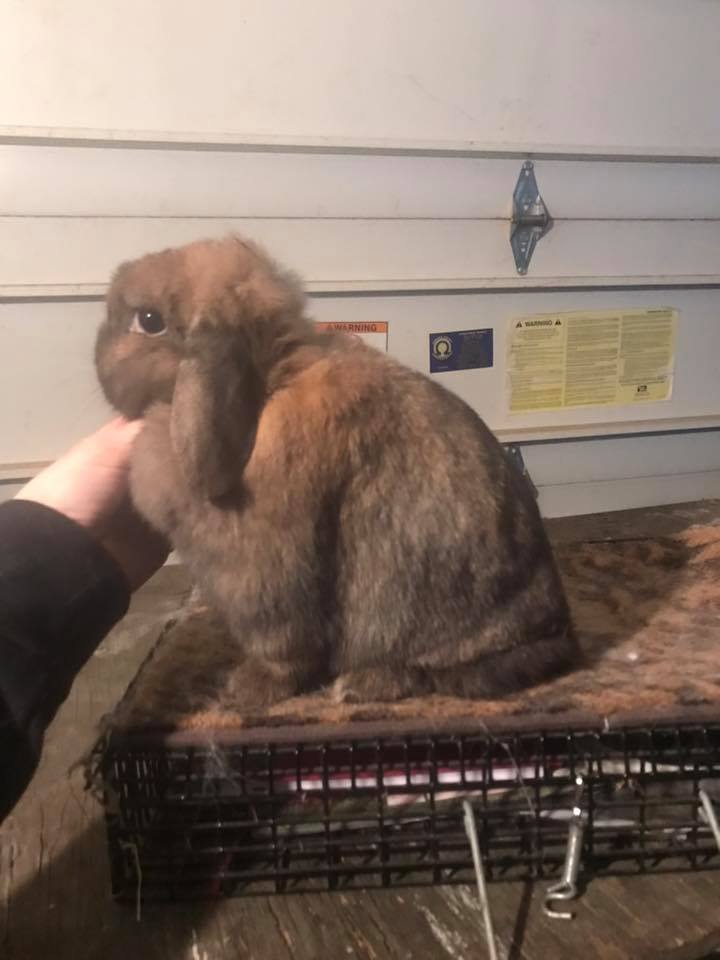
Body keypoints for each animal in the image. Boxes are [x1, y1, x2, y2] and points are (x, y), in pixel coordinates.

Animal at [95, 235, 578, 711]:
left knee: (437, 674)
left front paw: (241, 692)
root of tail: (559, 637)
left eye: (149, 320)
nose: (98, 355)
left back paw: (358, 686)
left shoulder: (266, 583)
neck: (269, 385)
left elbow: (282, 652)